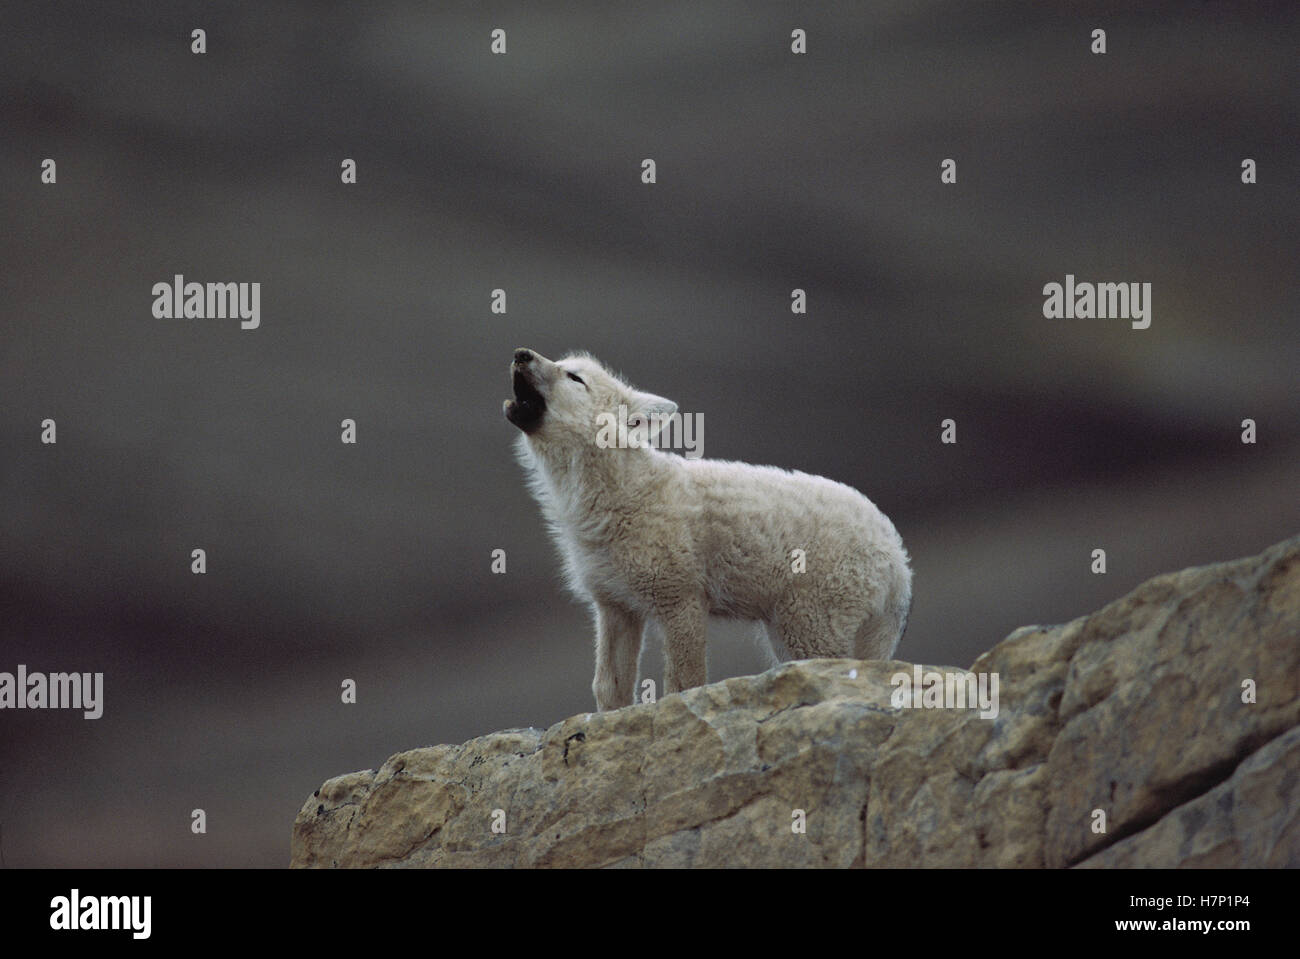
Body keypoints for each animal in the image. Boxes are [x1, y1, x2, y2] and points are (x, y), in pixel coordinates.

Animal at [504, 348, 912, 711]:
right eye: (563, 365)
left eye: (575, 378)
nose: (521, 353)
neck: (619, 492)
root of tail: (898, 559)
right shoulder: (615, 607)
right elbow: (609, 689)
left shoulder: (681, 602)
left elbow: (683, 683)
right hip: (789, 632)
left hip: (808, 629)